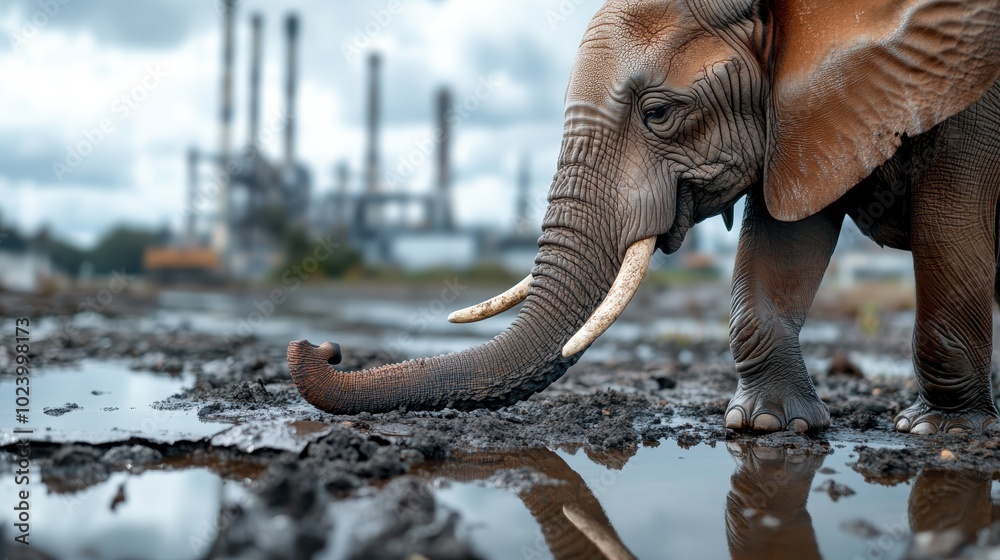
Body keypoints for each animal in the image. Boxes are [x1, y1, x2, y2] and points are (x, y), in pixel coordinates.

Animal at [288, 0, 1000, 435]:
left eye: (658, 114)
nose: (318, 346)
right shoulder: (804, 112)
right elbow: (783, 242)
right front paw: (770, 426)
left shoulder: (969, 104)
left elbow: (951, 234)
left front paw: (937, 431)